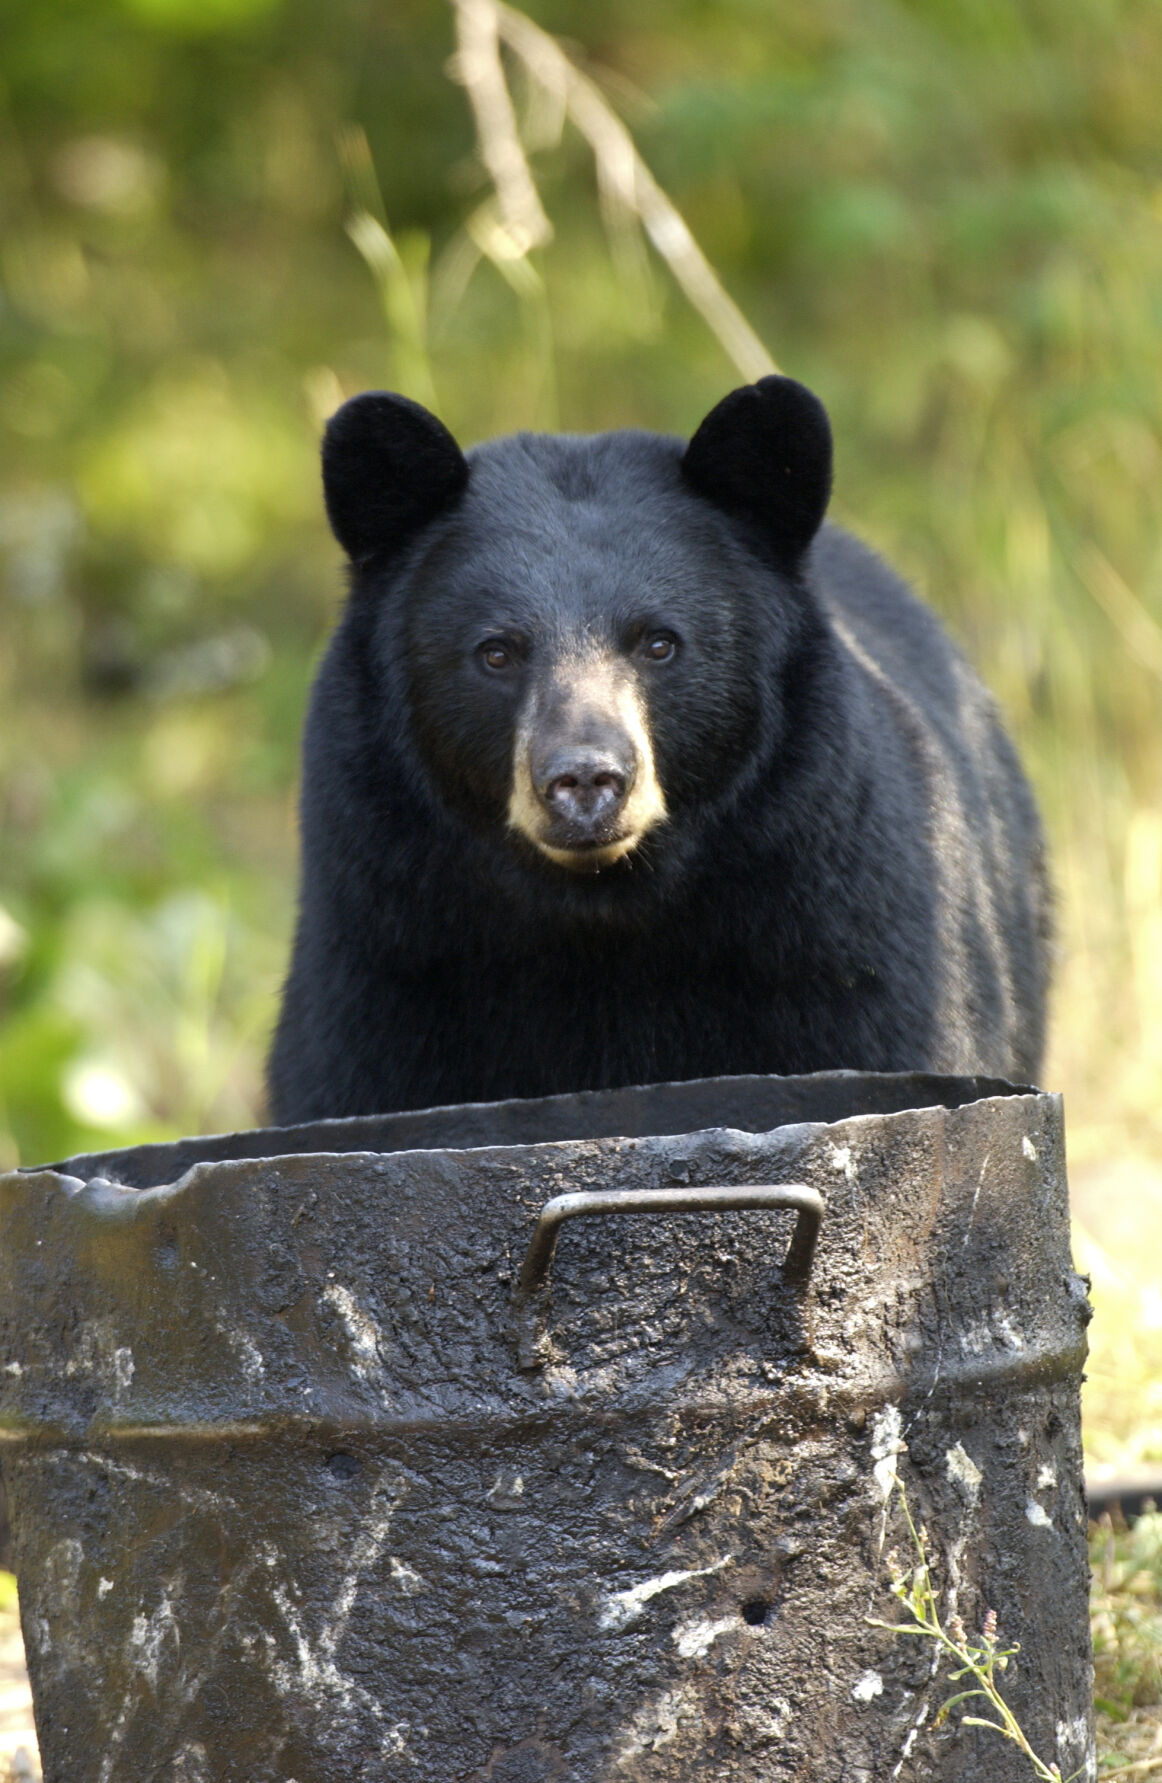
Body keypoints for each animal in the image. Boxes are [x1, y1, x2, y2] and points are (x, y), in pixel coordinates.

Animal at [267, 375, 1050, 1124]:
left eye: (659, 643)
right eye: (496, 652)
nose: (586, 781)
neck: (602, 916)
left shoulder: (840, 924)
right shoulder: (391, 956)